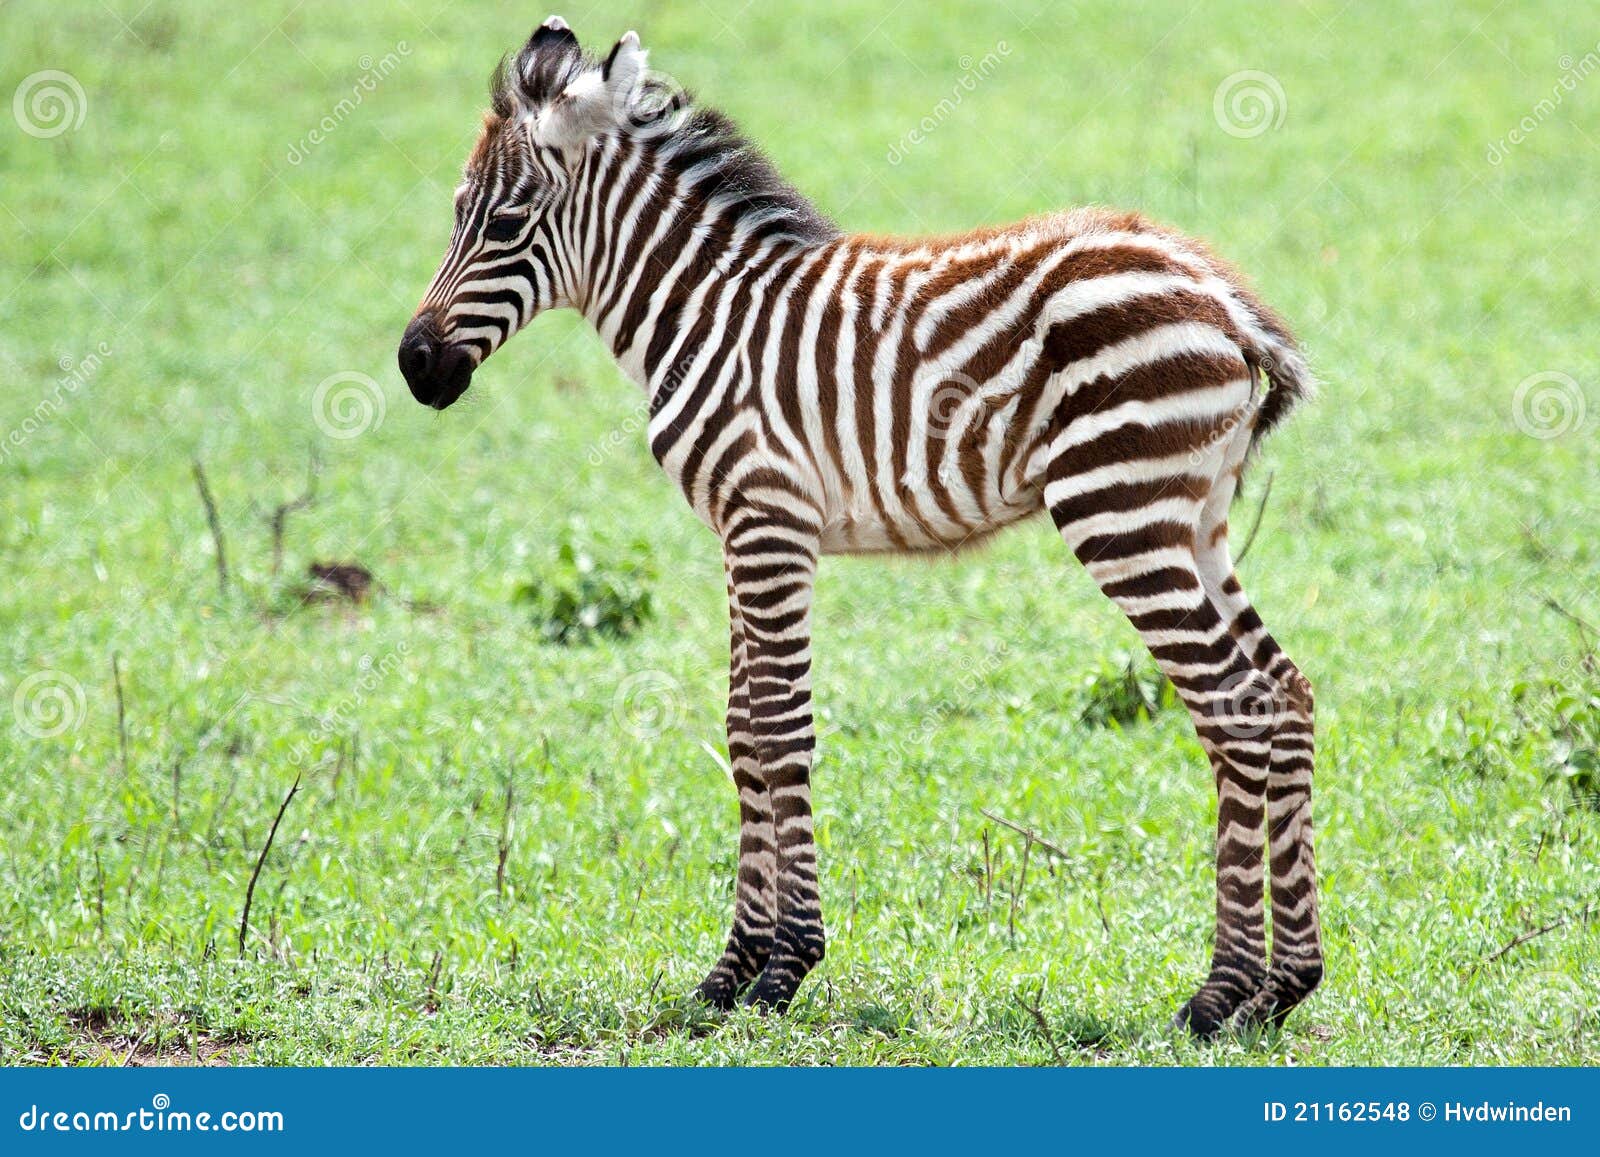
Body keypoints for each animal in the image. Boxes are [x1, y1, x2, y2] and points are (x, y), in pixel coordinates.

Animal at [398, 17, 1323, 1036]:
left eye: (504, 224)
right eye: (456, 212)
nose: (413, 366)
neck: (704, 312)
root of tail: (1219, 292)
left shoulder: (768, 521)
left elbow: (778, 729)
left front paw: (782, 969)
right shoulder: (742, 528)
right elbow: (742, 731)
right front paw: (726, 974)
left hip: (1121, 509)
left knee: (1234, 705)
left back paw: (1221, 991)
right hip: (1194, 517)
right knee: (1284, 691)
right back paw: (1284, 984)